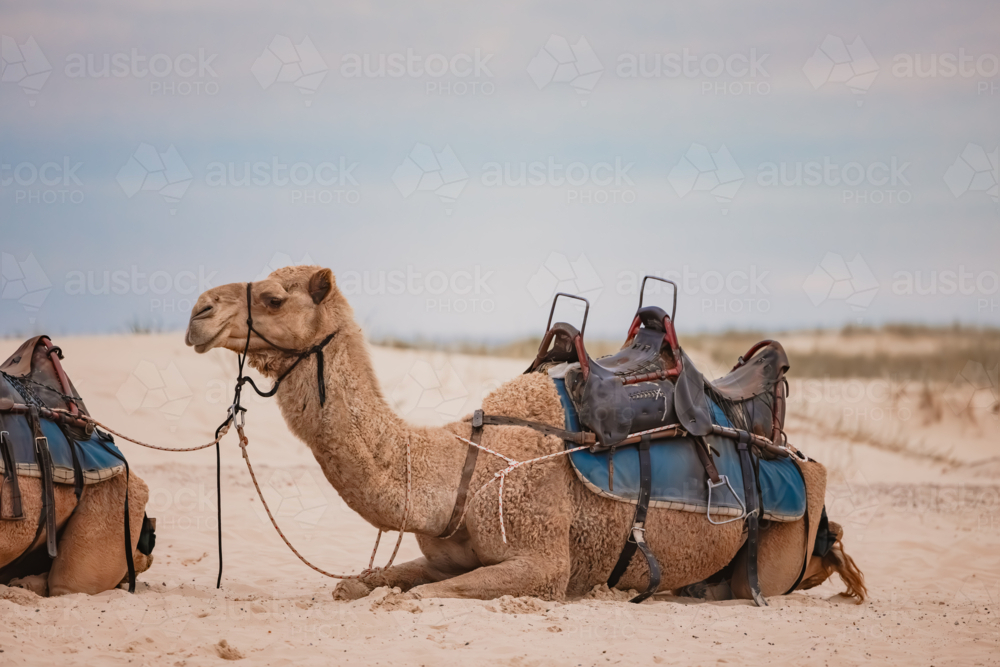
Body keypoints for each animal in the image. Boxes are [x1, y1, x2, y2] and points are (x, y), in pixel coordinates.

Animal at [185, 265, 865, 603]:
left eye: (274, 298)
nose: (198, 312)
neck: (459, 467)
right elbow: (366, 583)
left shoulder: (544, 562)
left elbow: (434, 595)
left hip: (776, 556)